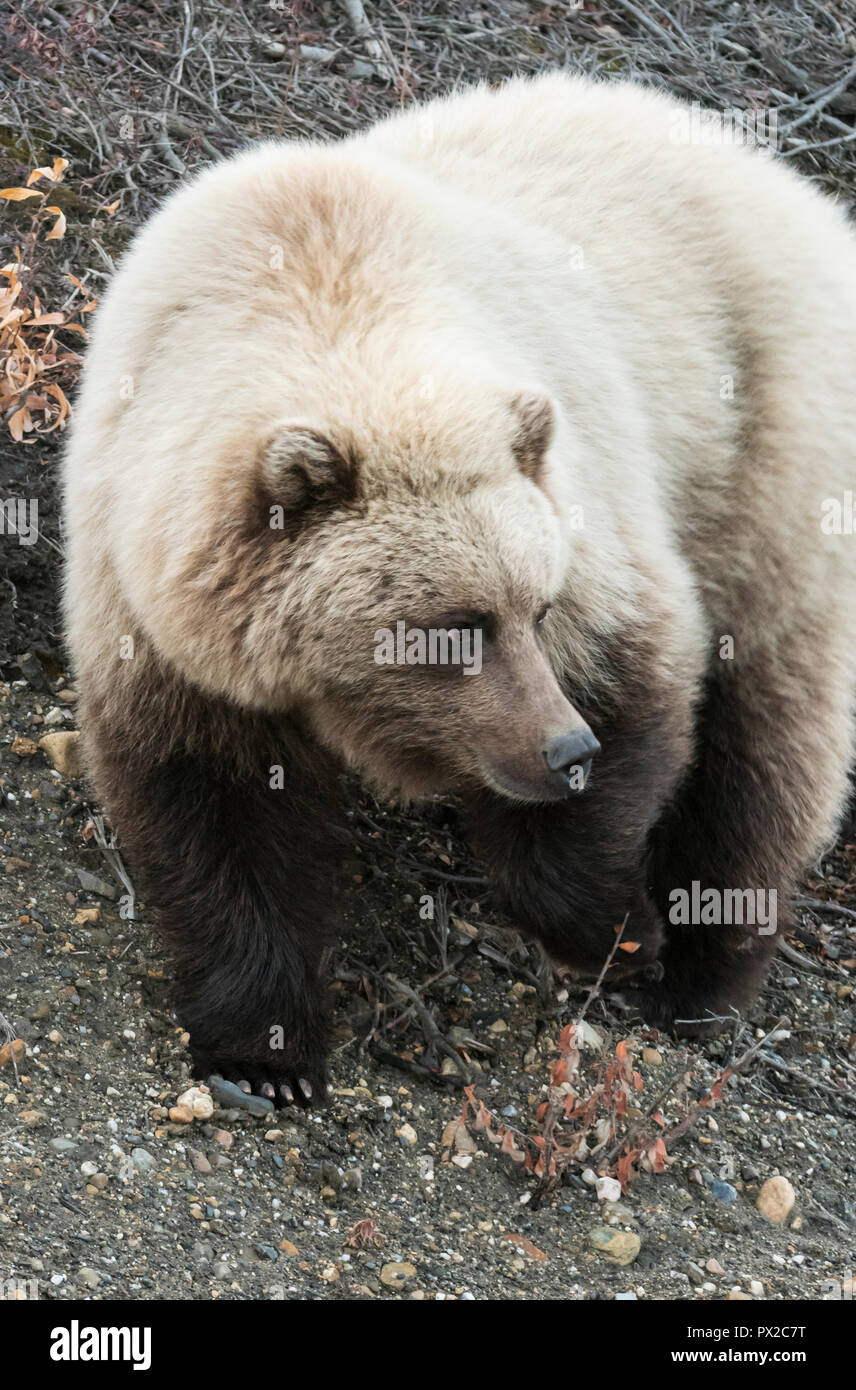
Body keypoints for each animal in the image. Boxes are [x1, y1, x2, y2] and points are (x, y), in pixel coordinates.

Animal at [62, 73, 856, 1105]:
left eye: (537, 608)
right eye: (455, 626)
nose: (567, 749)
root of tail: (794, 185)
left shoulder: (587, 510)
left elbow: (636, 674)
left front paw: (624, 928)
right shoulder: (154, 605)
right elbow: (213, 807)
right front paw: (264, 1051)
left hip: (764, 459)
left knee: (770, 732)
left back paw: (707, 972)